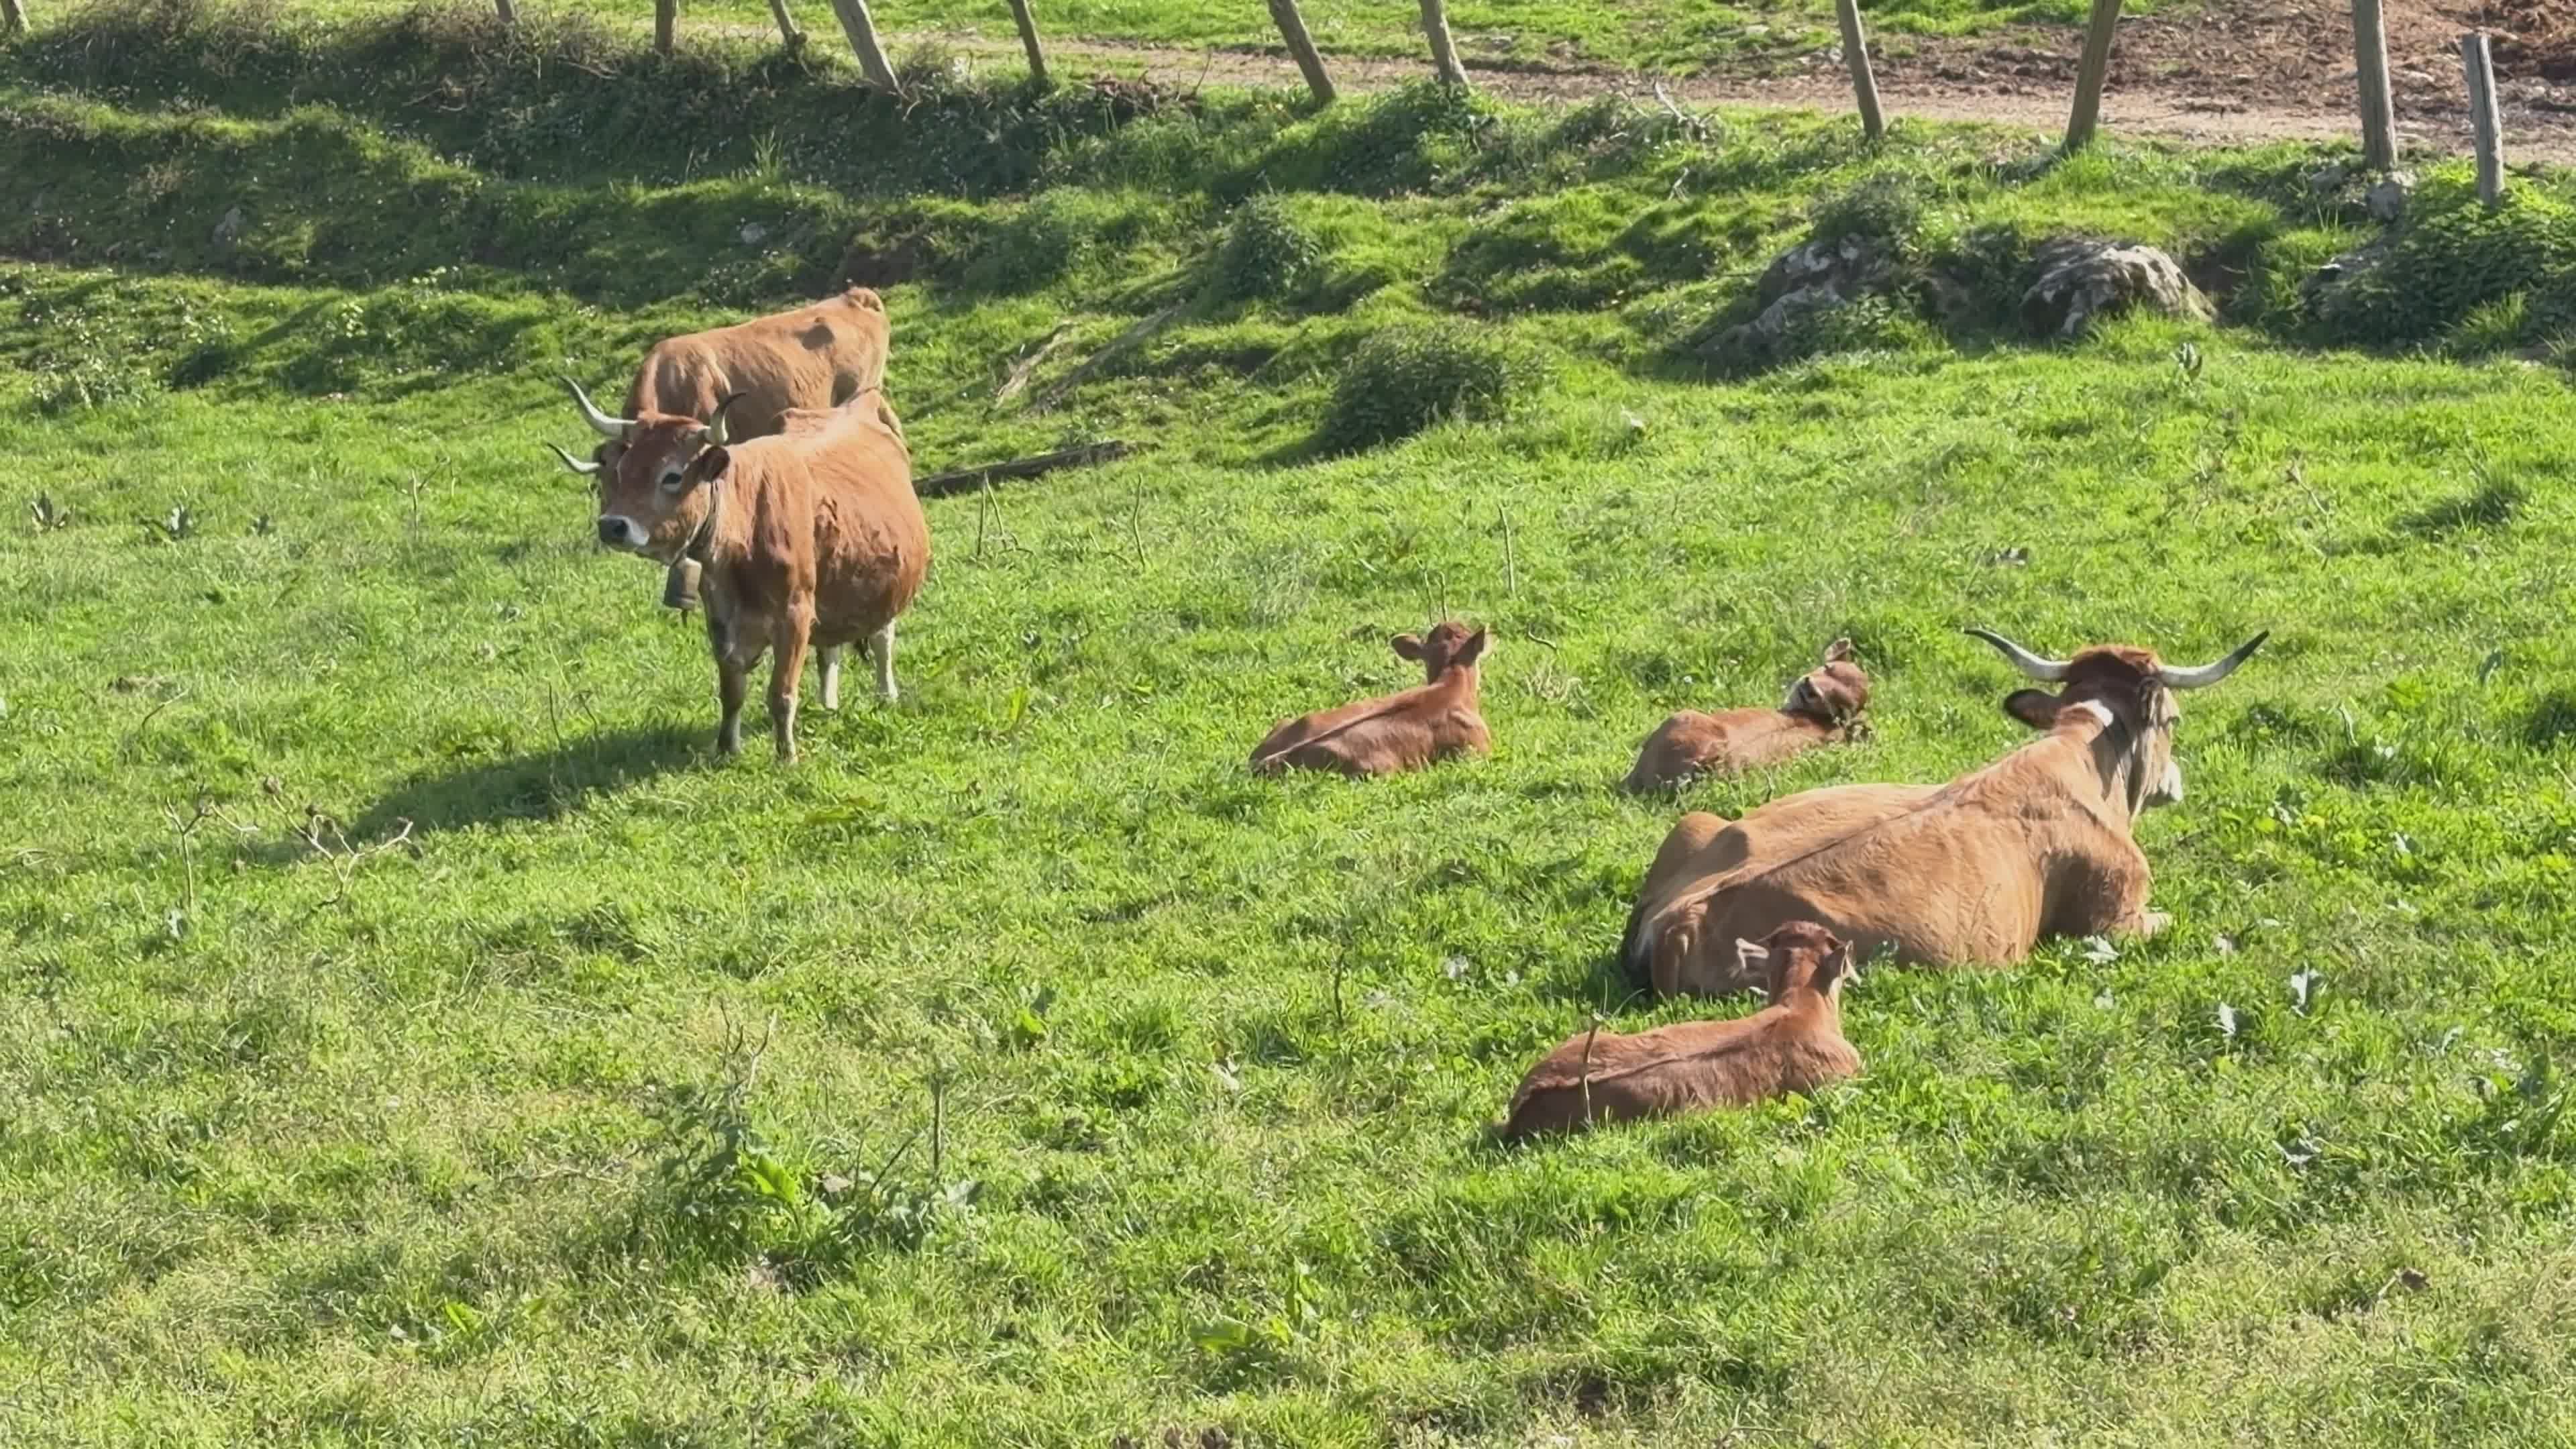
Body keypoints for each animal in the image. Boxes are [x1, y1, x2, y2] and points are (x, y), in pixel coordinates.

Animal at [587, 388, 928, 763]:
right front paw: (727, 749)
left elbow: (782, 693)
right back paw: (828, 704)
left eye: (672, 475)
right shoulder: (721, 620)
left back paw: (886, 694)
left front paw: (786, 756)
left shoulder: (795, 615)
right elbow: (732, 691)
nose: (612, 525)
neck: (748, 524)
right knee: (831, 651)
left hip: (886, 589)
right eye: (623, 470)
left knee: (882, 639)